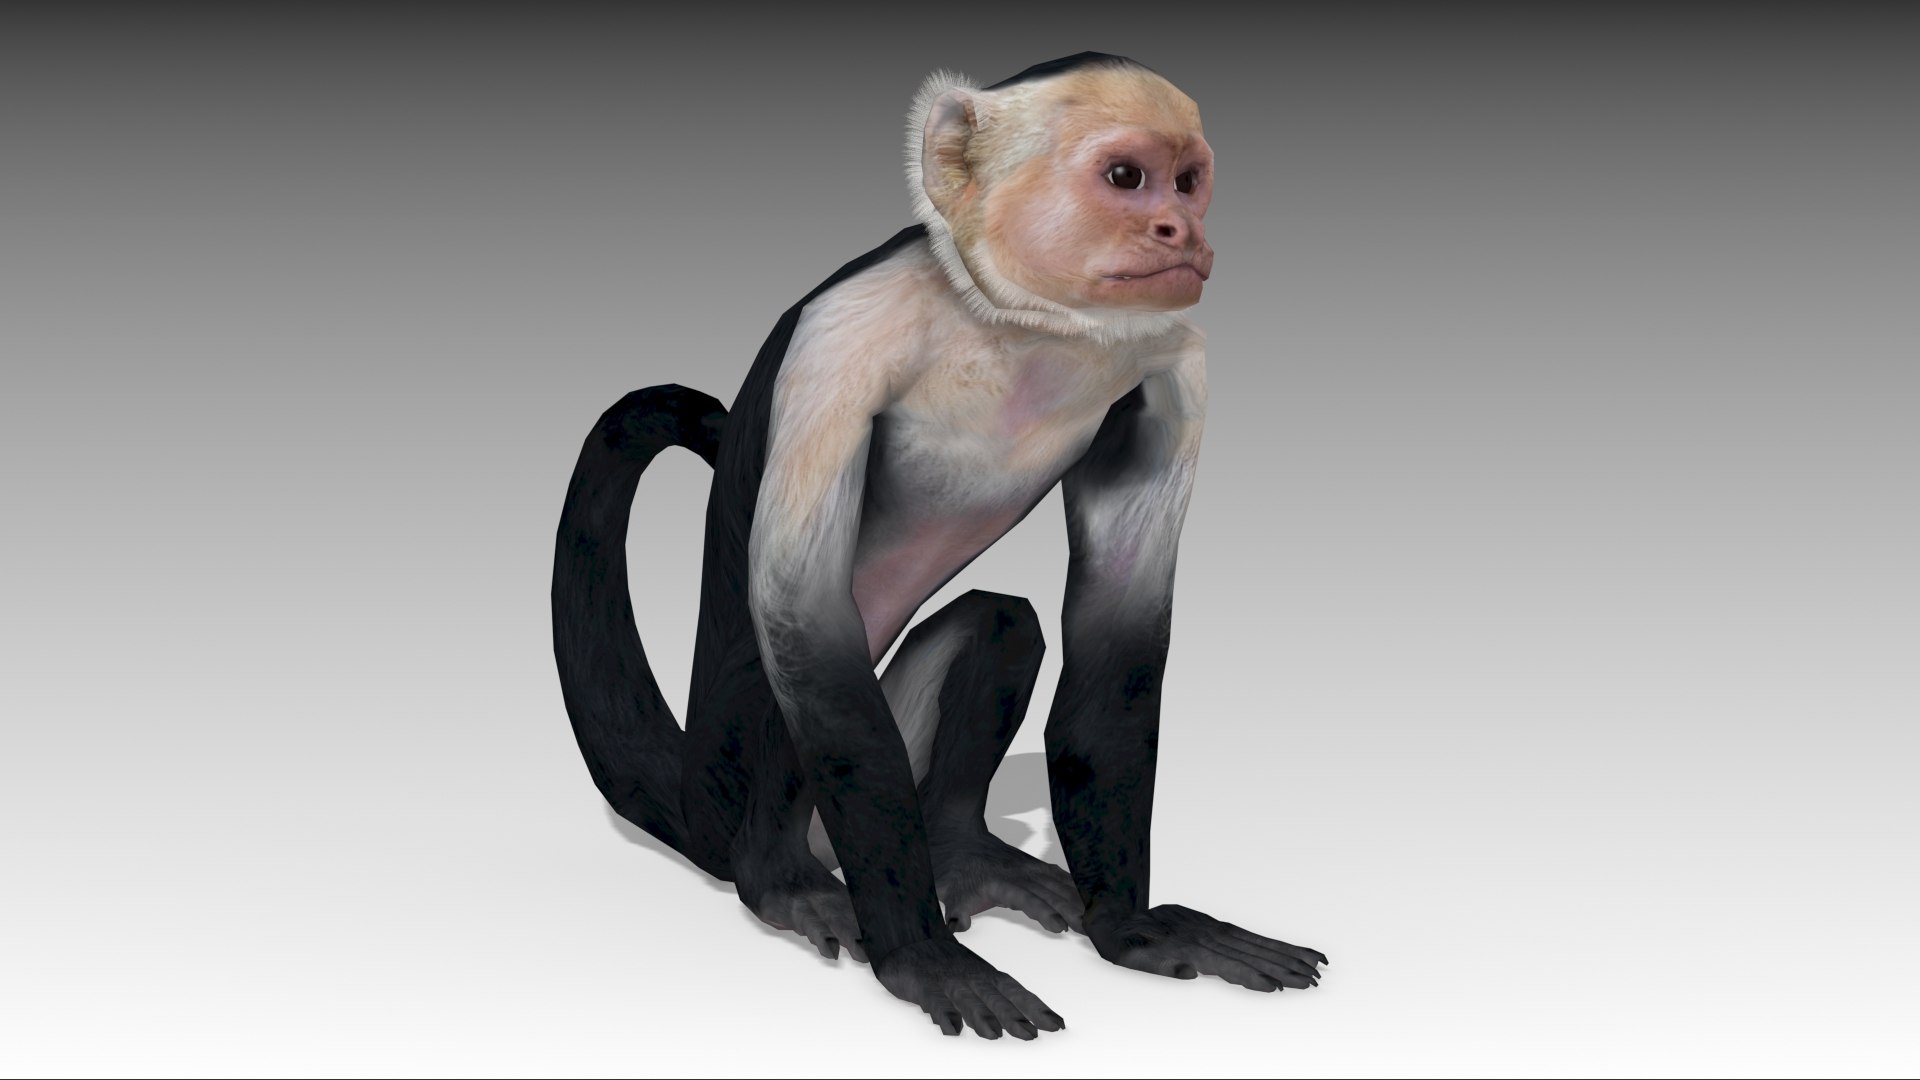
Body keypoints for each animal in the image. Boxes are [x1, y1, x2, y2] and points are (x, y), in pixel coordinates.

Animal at [552, 52, 1326, 1039]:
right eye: (1127, 178)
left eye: (1190, 181)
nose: (1179, 227)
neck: (1023, 323)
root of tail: (694, 791)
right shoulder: (840, 344)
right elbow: (805, 631)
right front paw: (918, 959)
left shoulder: (1172, 360)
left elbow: (1116, 641)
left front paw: (1135, 930)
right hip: (741, 794)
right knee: (788, 688)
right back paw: (781, 881)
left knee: (1004, 623)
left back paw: (963, 851)